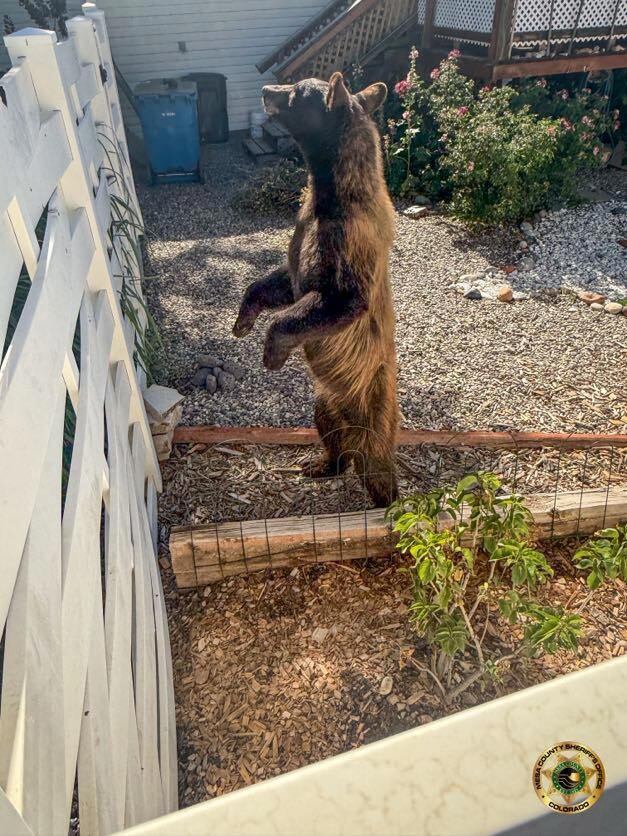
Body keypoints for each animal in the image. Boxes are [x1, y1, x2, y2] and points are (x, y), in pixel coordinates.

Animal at [233, 72, 399, 507]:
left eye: (295, 91)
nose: (266, 90)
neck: (330, 194)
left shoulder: (346, 244)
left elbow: (338, 300)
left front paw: (272, 352)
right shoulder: (304, 236)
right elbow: (282, 283)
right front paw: (243, 321)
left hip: (375, 413)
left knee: (377, 464)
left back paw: (386, 499)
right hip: (324, 403)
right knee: (331, 436)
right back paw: (322, 464)